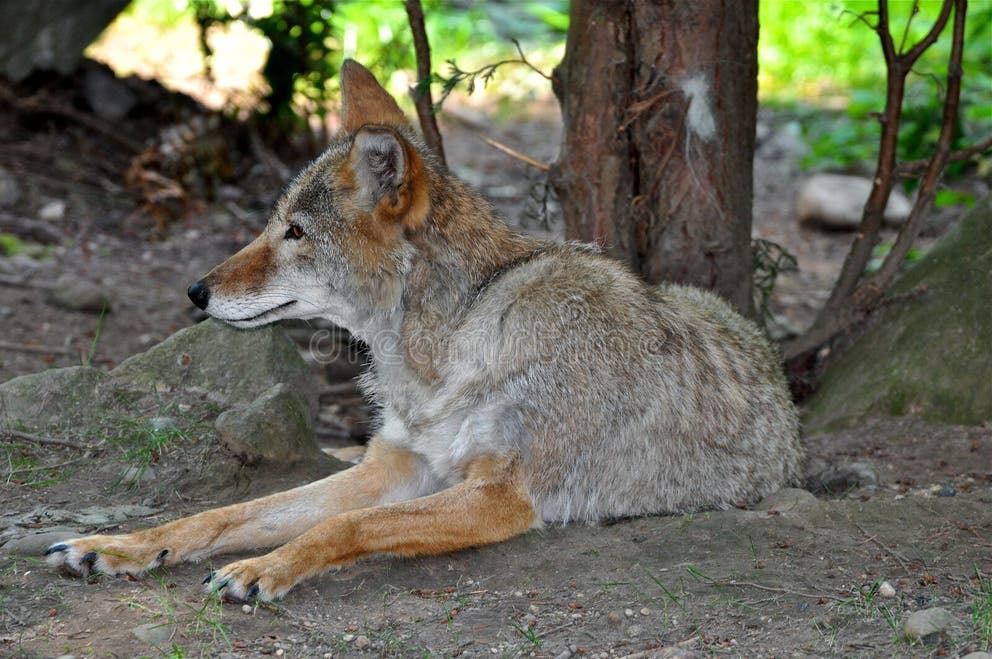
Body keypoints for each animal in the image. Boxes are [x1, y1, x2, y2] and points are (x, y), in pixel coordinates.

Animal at [45, 60, 802, 601]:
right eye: (272, 223)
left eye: (296, 233)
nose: (196, 291)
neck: (446, 347)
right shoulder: (396, 465)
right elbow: (228, 512)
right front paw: (121, 546)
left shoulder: (501, 494)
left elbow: (347, 524)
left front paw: (263, 568)